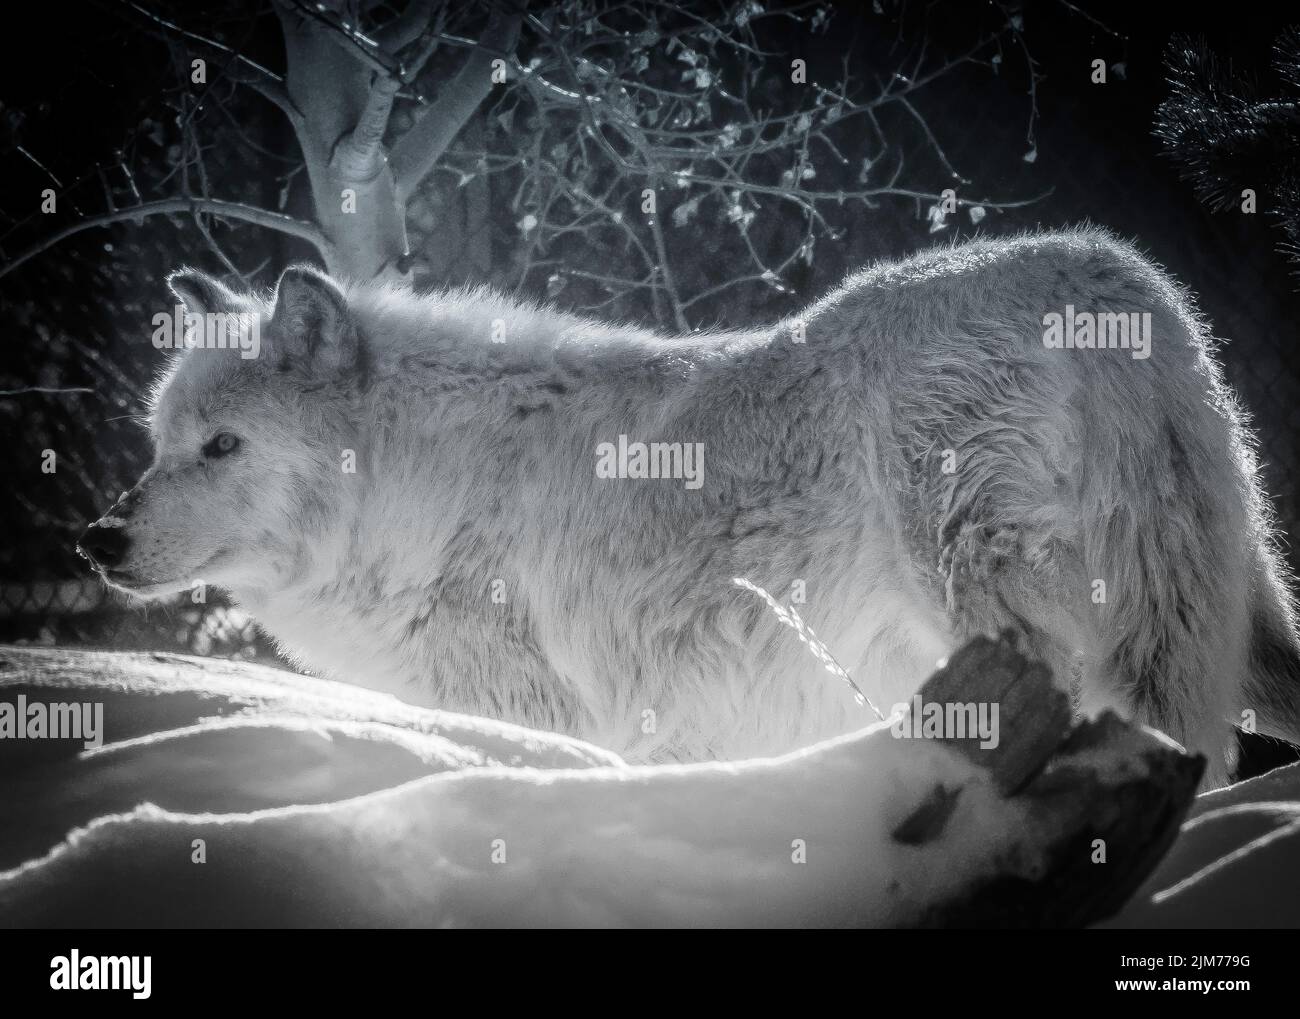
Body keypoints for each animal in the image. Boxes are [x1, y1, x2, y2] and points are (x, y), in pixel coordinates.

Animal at [79, 228, 1300, 785]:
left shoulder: (543, 717)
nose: (98, 535)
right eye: (157, 442)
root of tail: (1116, 280)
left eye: (224, 445)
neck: (423, 486)